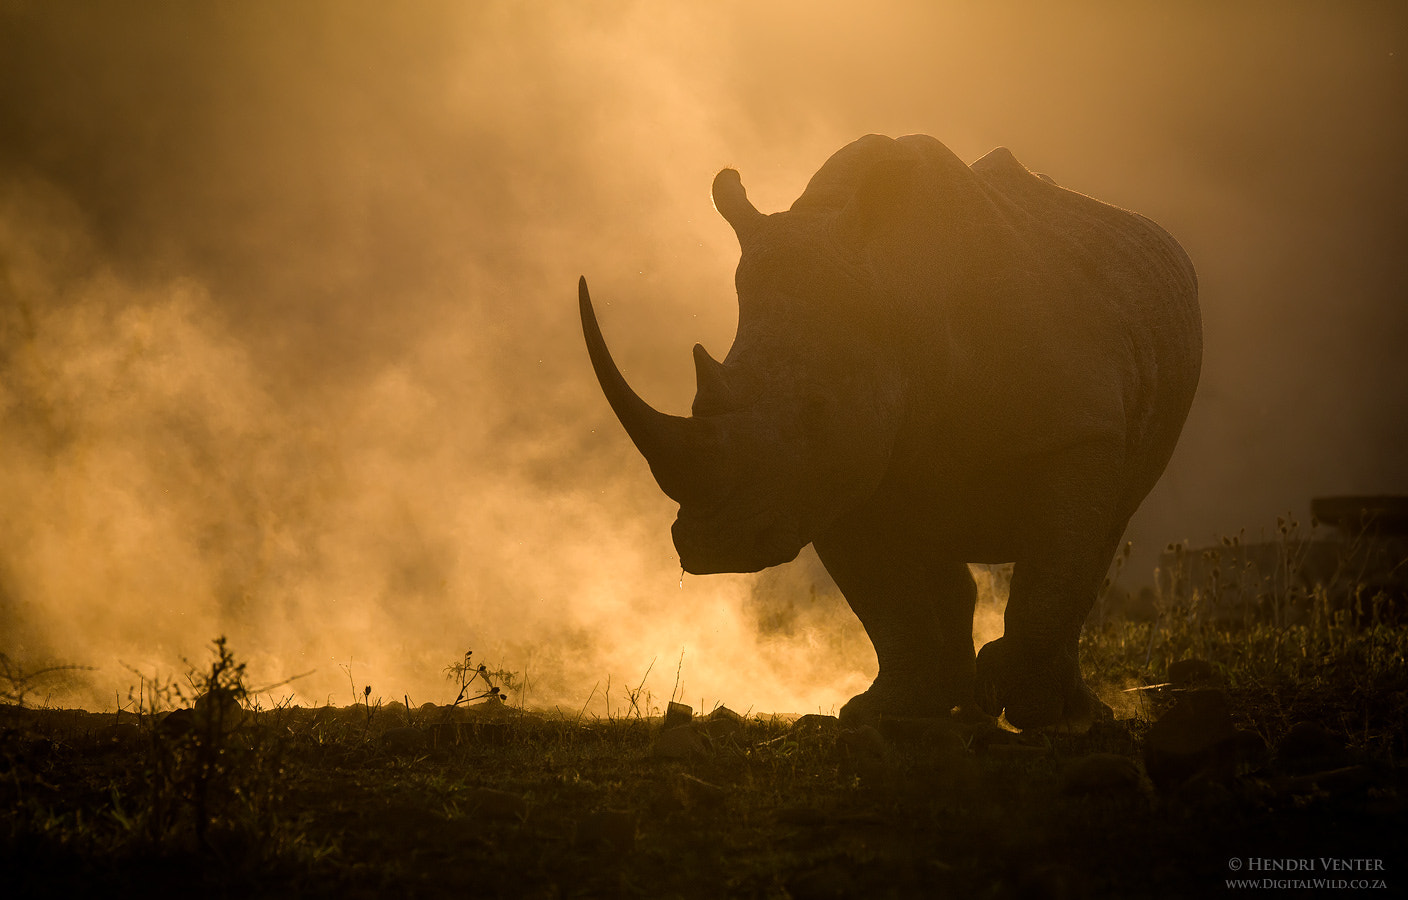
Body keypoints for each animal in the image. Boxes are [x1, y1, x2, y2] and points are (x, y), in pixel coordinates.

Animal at [579, 134, 1200, 729]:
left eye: (817, 411)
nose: (713, 546)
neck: (897, 285)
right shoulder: (835, 471)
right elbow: (886, 597)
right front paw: (888, 710)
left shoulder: (1078, 432)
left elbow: (1055, 566)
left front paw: (1033, 710)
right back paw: (963, 698)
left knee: (1103, 531)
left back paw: (1066, 710)